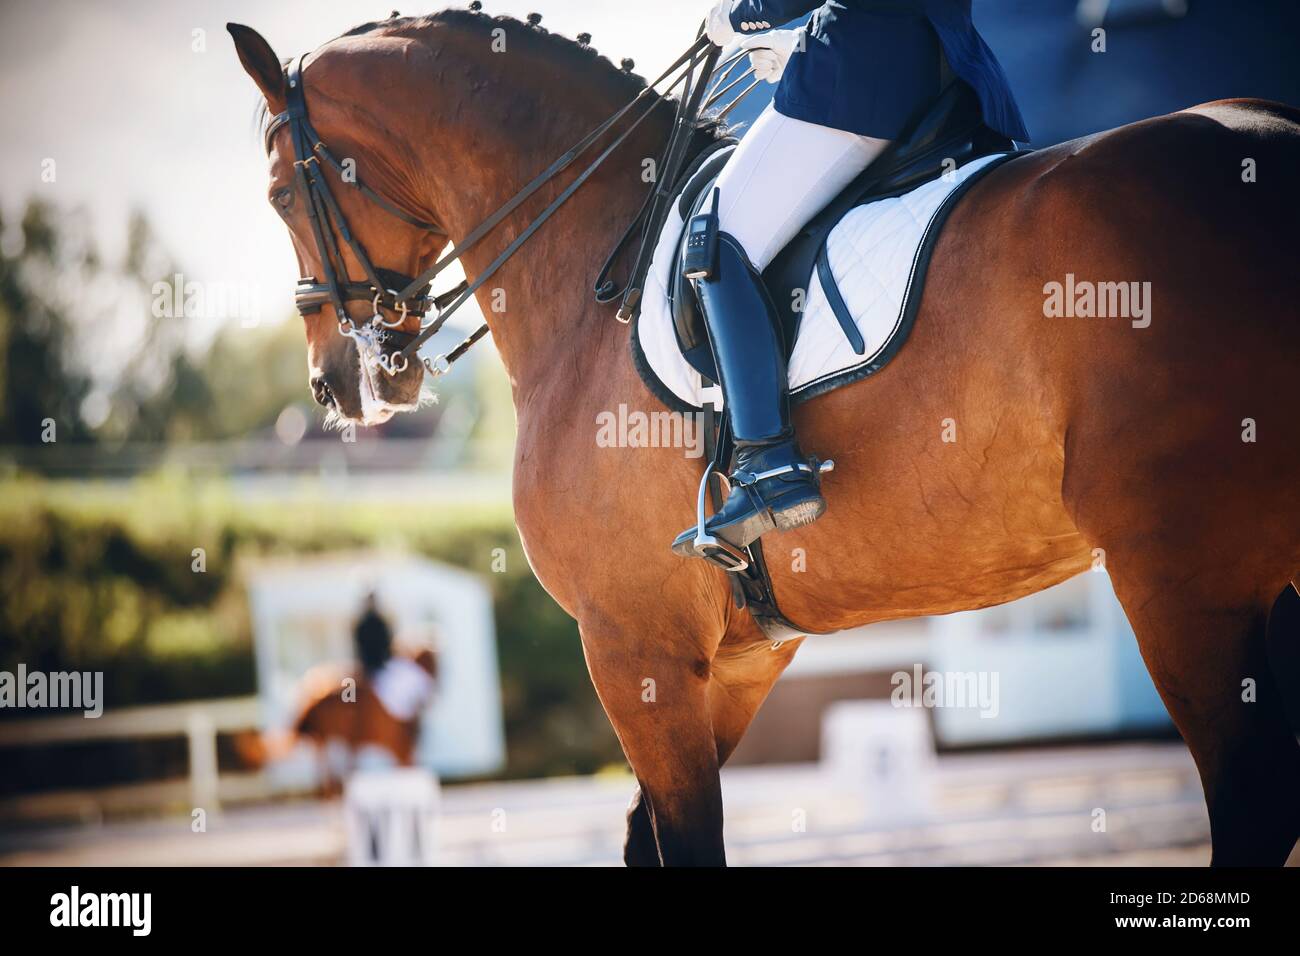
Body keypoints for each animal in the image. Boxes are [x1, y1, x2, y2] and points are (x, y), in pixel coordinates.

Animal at [227, 10, 1300, 865]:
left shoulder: (634, 646)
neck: (589, 266)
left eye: (279, 194)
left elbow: (684, 841)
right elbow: (645, 840)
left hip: (1183, 573)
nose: (337, 385)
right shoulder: (739, 660)